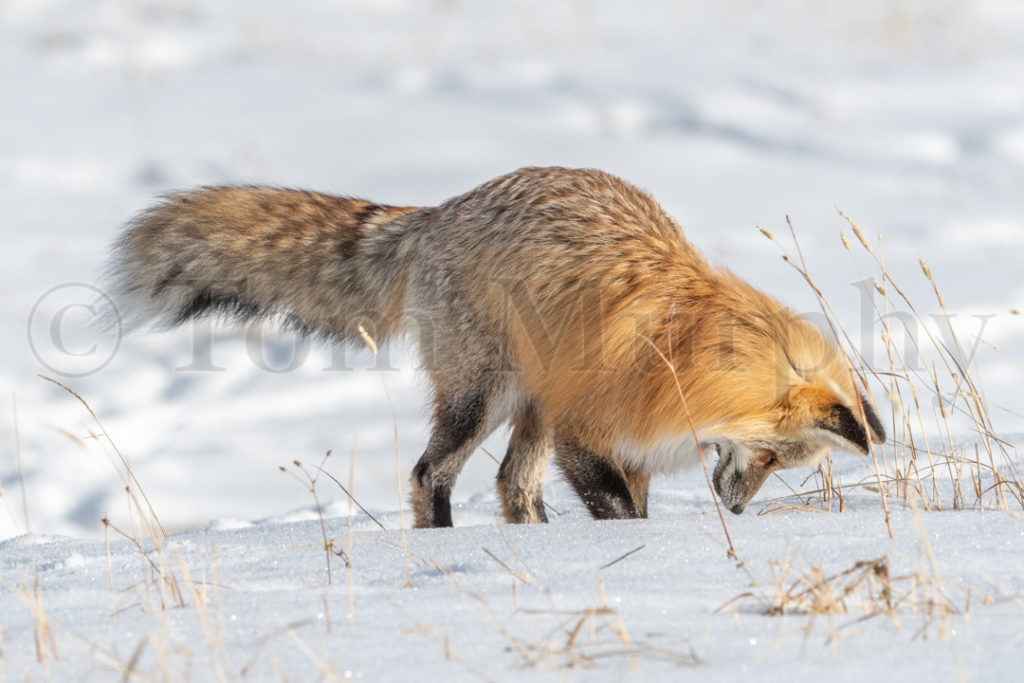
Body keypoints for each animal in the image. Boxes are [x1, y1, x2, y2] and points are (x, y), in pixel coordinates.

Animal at [105, 166, 885, 527]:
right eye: (772, 457)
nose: (738, 513)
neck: (682, 354)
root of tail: (440, 211)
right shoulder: (587, 432)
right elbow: (619, 513)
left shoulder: (627, 448)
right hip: (485, 396)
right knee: (430, 475)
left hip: (532, 403)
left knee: (514, 486)